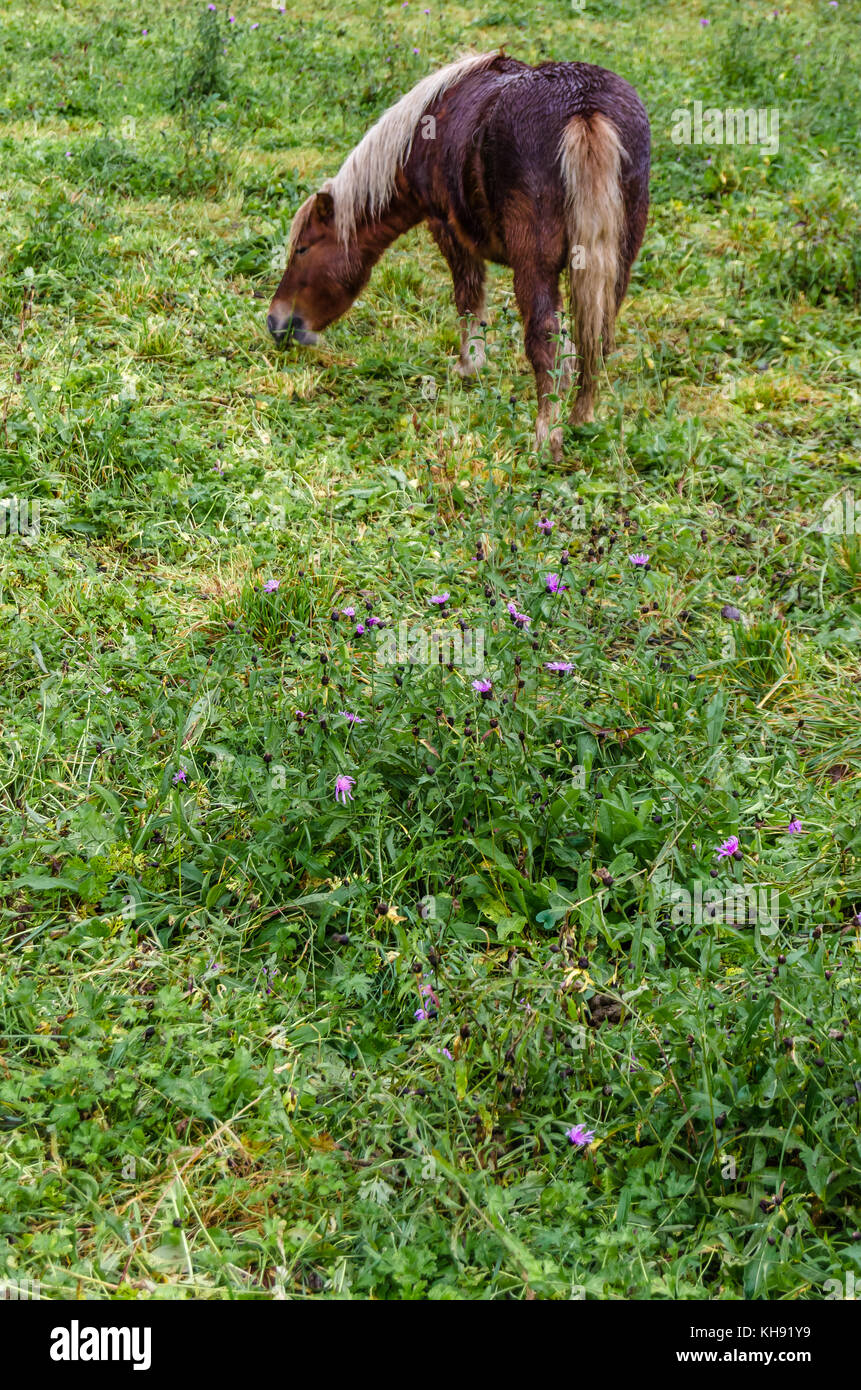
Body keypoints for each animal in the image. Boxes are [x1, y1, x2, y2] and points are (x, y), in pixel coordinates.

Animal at [267, 51, 650, 462]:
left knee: (547, 346)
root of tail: (584, 108)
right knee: (596, 341)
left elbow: (468, 300)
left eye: (302, 248)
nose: (276, 321)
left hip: (535, 267)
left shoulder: (448, 231)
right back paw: (581, 421)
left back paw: (545, 441)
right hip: (616, 263)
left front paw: (470, 365)